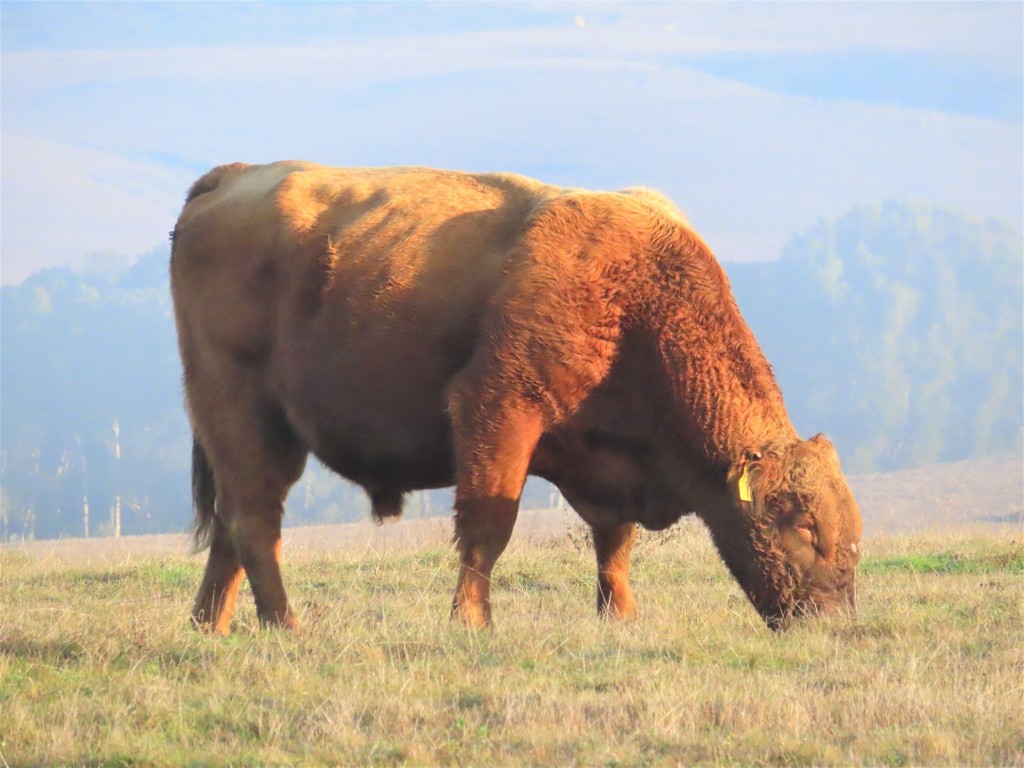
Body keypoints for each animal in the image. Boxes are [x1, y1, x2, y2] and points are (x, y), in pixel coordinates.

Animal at [170, 161, 862, 635]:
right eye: (804, 525)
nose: (833, 622)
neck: (637, 299)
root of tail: (230, 178)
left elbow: (615, 544)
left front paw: (621, 617)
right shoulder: (498, 411)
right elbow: (488, 526)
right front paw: (472, 623)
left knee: (233, 524)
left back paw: (209, 627)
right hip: (244, 415)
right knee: (255, 518)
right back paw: (284, 625)